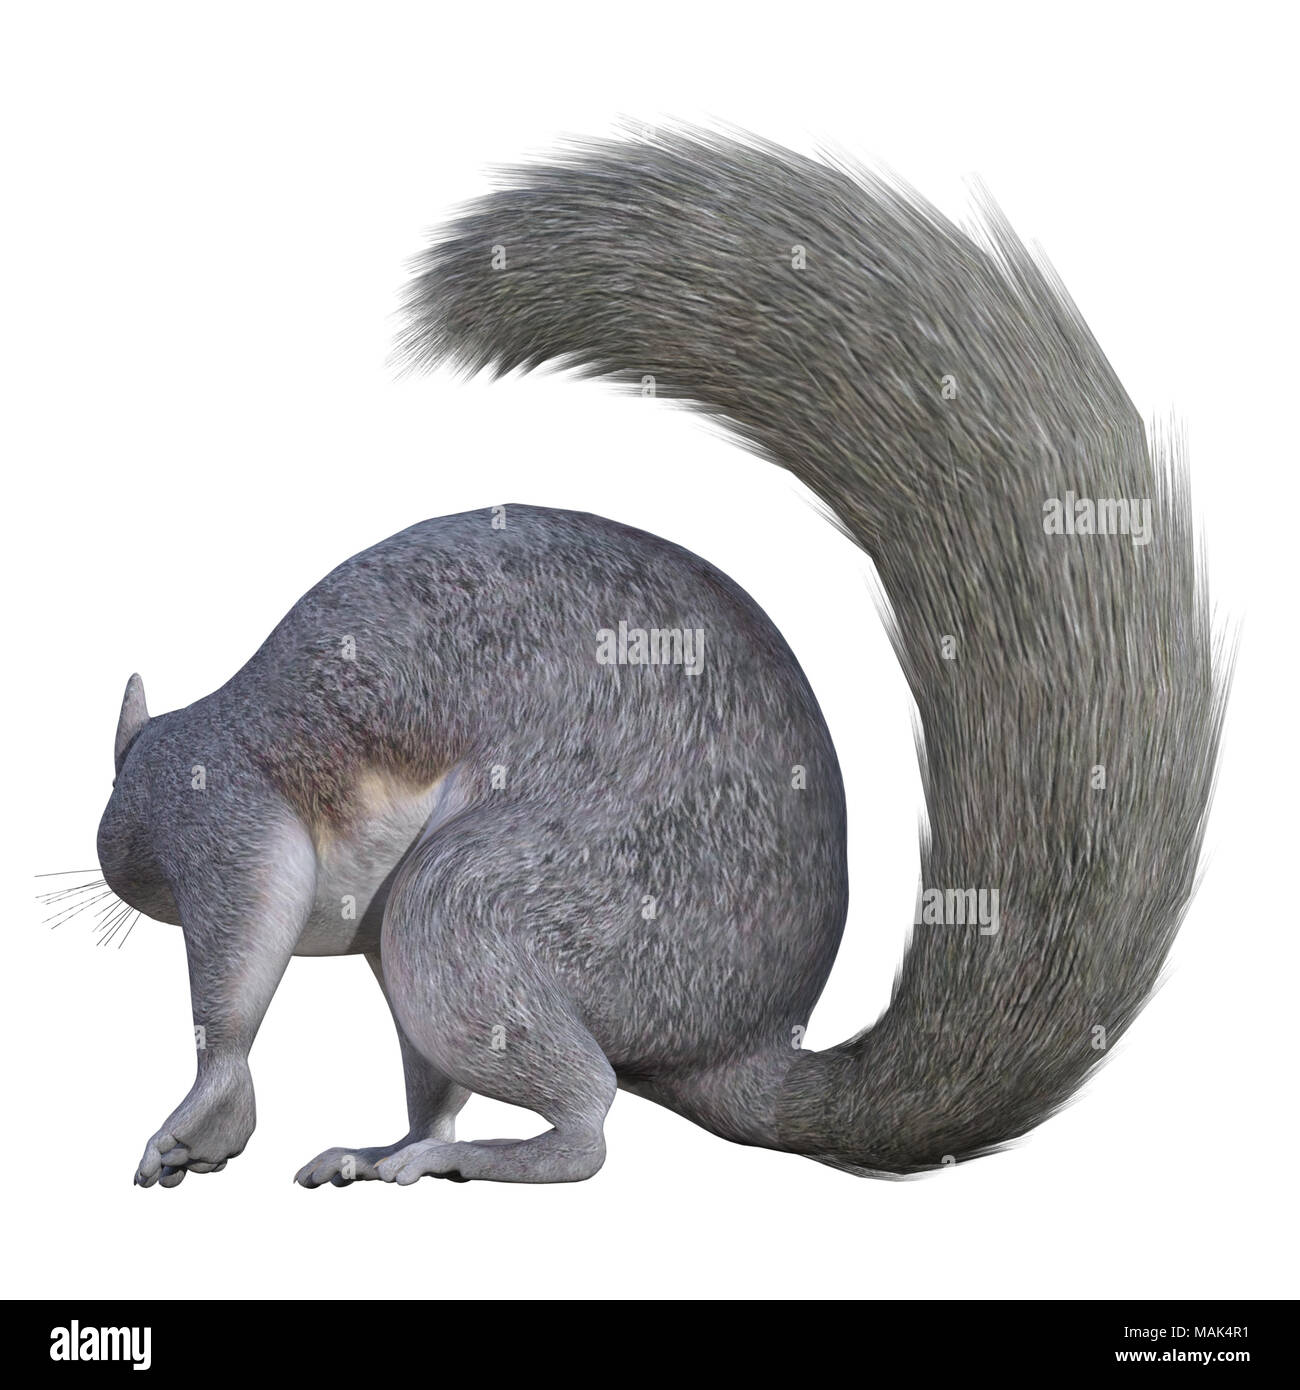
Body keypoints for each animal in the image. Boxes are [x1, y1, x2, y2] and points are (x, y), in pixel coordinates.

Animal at [97, 126, 1227, 1187]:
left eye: (120, 799)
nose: (108, 871)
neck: (195, 735)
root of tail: (734, 1045)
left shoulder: (230, 817)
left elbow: (240, 963)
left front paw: (203, 1110)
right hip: (424, 952)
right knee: (455, 1081)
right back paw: (396, 1146)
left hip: (490, 913)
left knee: (586, 1117)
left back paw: (480, 1155)